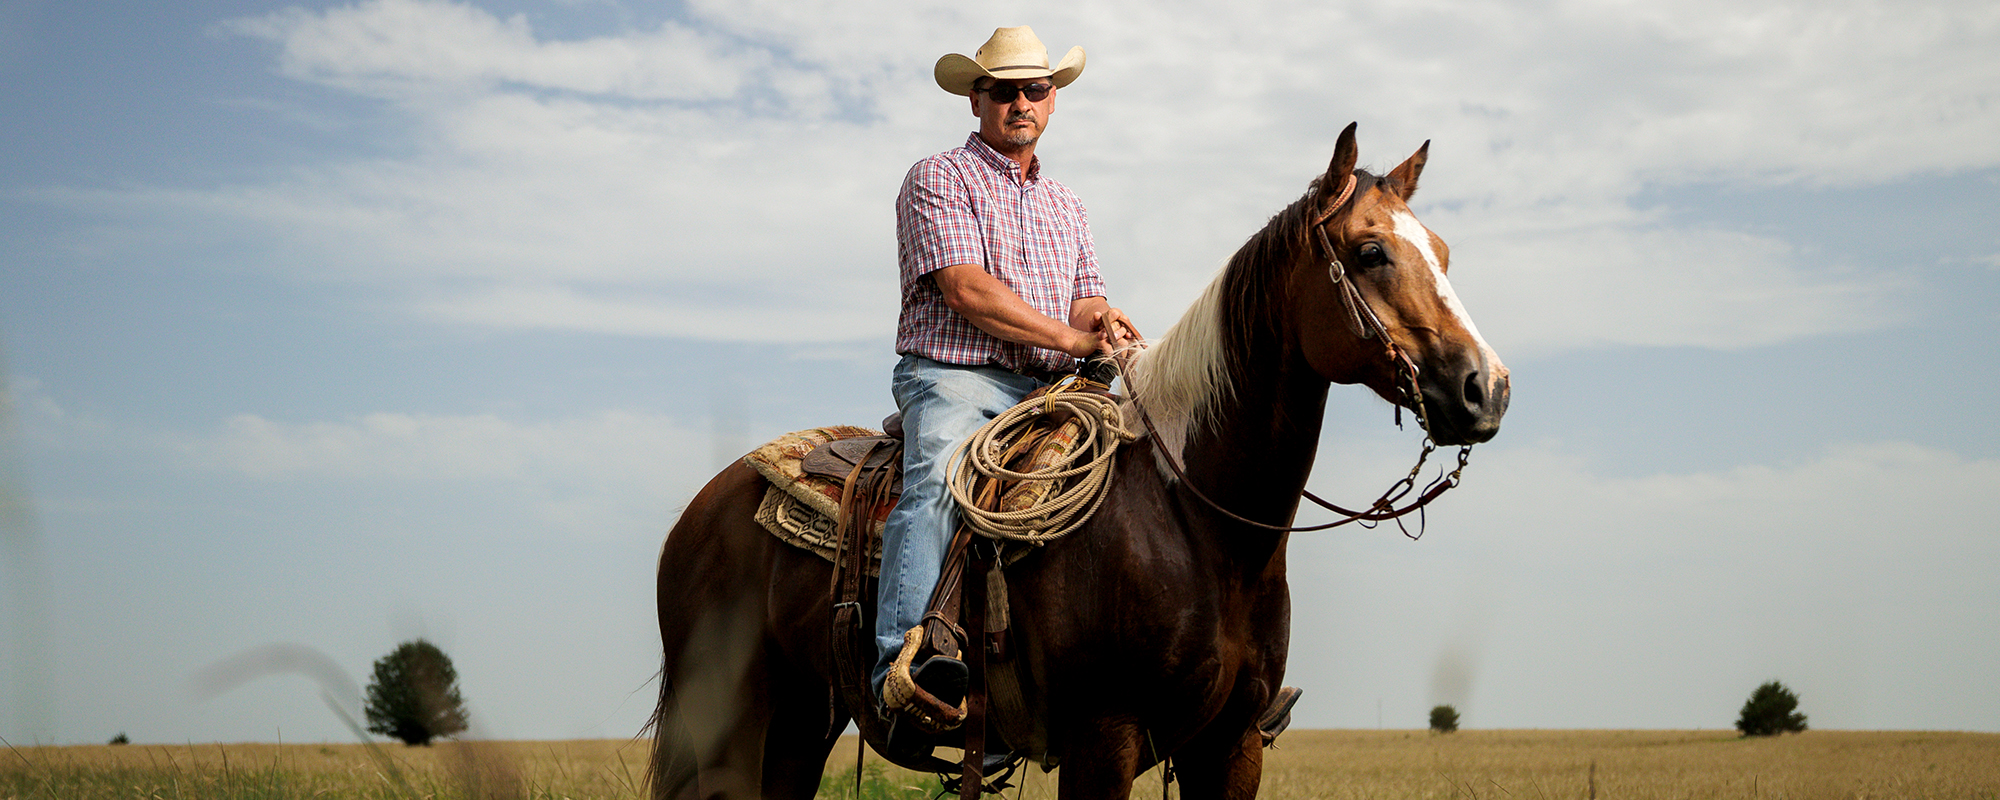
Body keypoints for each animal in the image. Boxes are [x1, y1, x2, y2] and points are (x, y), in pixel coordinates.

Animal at [644, 122, 1510, 799]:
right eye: (1371, 252)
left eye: (1442, 251)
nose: (1487, 388)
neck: (1197, 523)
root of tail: (704, 507)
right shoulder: (1105, 735)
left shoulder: (1230, 744)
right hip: (726, 721)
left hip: (800, 721)